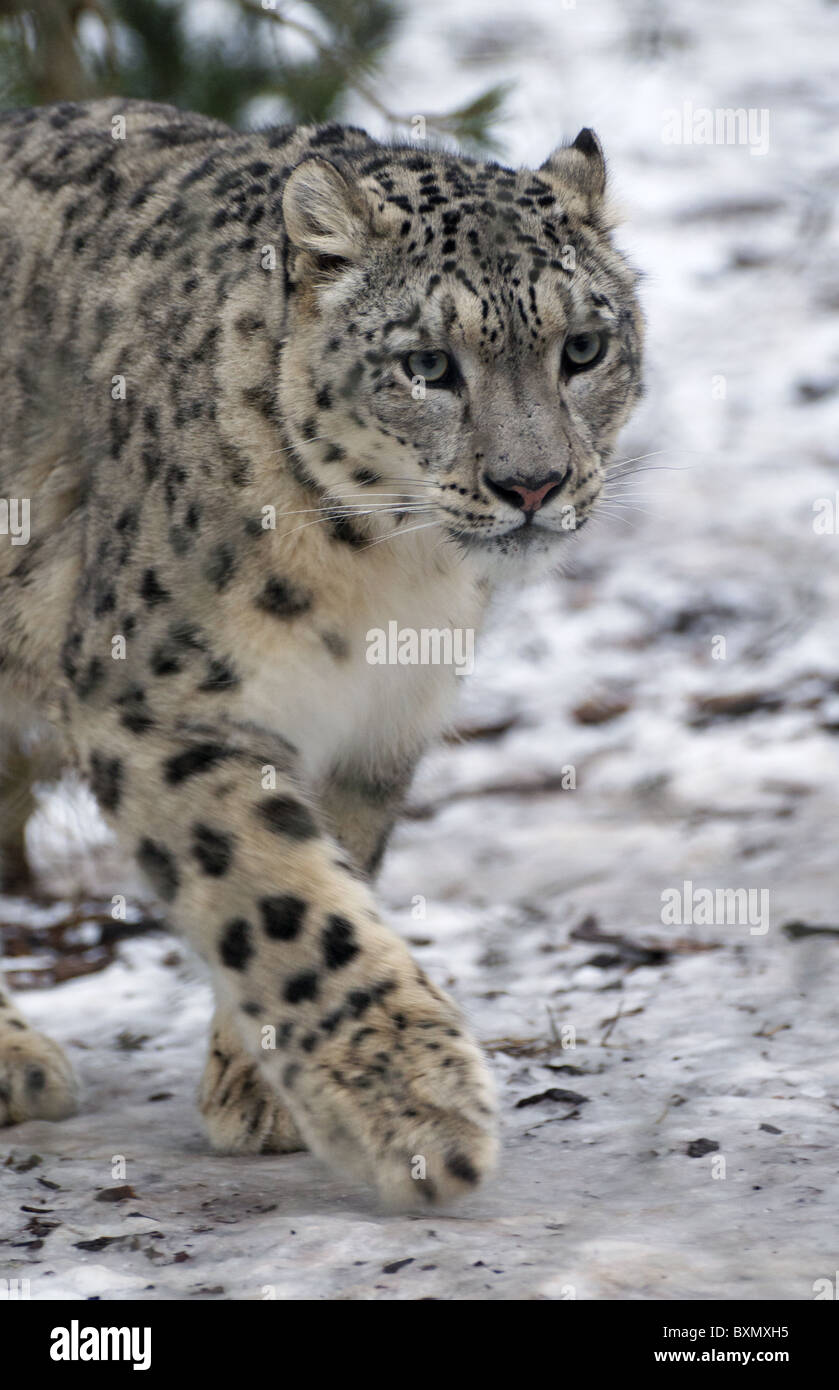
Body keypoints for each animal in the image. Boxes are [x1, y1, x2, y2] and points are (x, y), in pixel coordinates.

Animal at [0, 98, 644, 1207]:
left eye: (583, 347)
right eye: (426, 365)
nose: (532, 483)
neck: (394, 575)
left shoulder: (378, 718)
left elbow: (332, 861)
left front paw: (258, 1088)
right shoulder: (153, 697)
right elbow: (280, 897)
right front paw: (417, 1108)